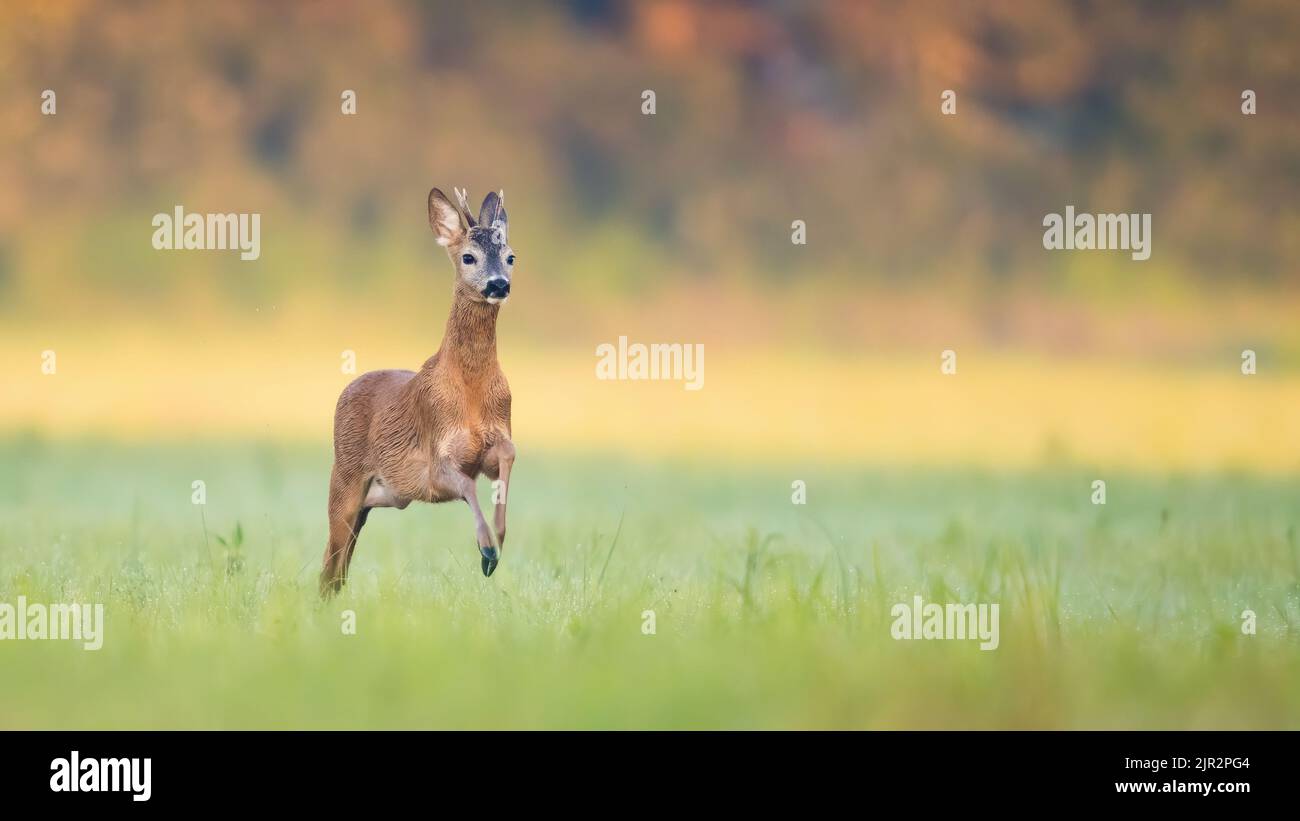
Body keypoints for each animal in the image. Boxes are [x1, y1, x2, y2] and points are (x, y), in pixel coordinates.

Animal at [319, 187, 517, 596]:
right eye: (468, 256)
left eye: (510, 256)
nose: (498, 284)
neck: (471, 390)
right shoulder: (436, 458)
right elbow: (465, 485)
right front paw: (487, 550)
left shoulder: (494, 442)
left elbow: (508, 457)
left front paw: (499, 537)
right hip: (345, 475)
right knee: (330, 561)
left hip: (383, 495)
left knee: (341, 560)